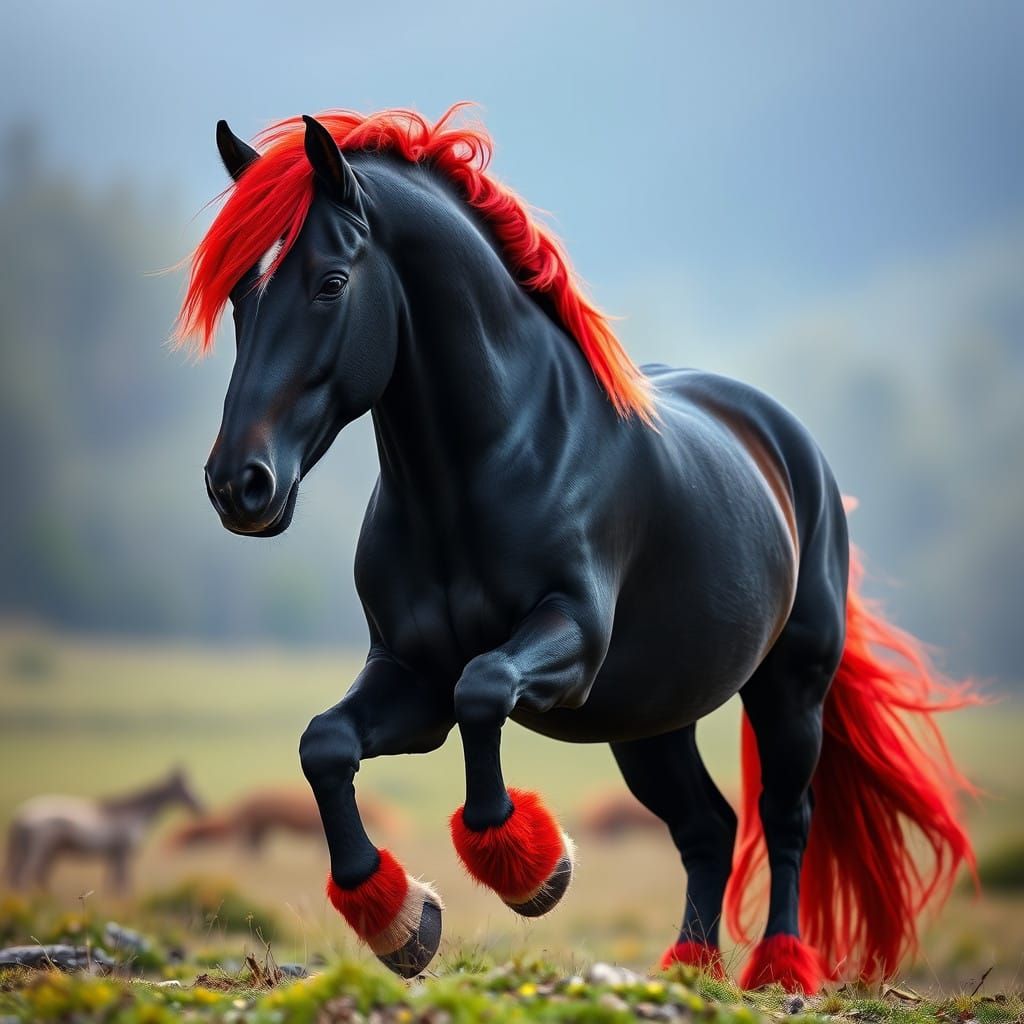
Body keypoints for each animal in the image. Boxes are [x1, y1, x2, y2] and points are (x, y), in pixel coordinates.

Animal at [5, 768, 203, 894]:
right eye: (186, 788)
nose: (202, 807)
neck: (134, 812)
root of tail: (20, 814)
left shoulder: (113, 854)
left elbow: (113, 885)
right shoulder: (123, 853)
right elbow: (123, 885)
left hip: (48, 852)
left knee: (34, 876)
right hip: (40, 850)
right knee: (26, 876)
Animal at [177, 106, 977, 989]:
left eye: (329, 282)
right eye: (242, 294)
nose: (239, 485)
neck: (493, 462)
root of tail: (791, 448)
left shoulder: (571, 640)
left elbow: (485, 690)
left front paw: (531, 868)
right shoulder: (411, 675)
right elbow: (325, 744)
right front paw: (399, 918)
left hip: (789, 688)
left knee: (784, 817)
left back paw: (778, 968)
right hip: (651, 719)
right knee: (707, 826)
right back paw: (691, 963)